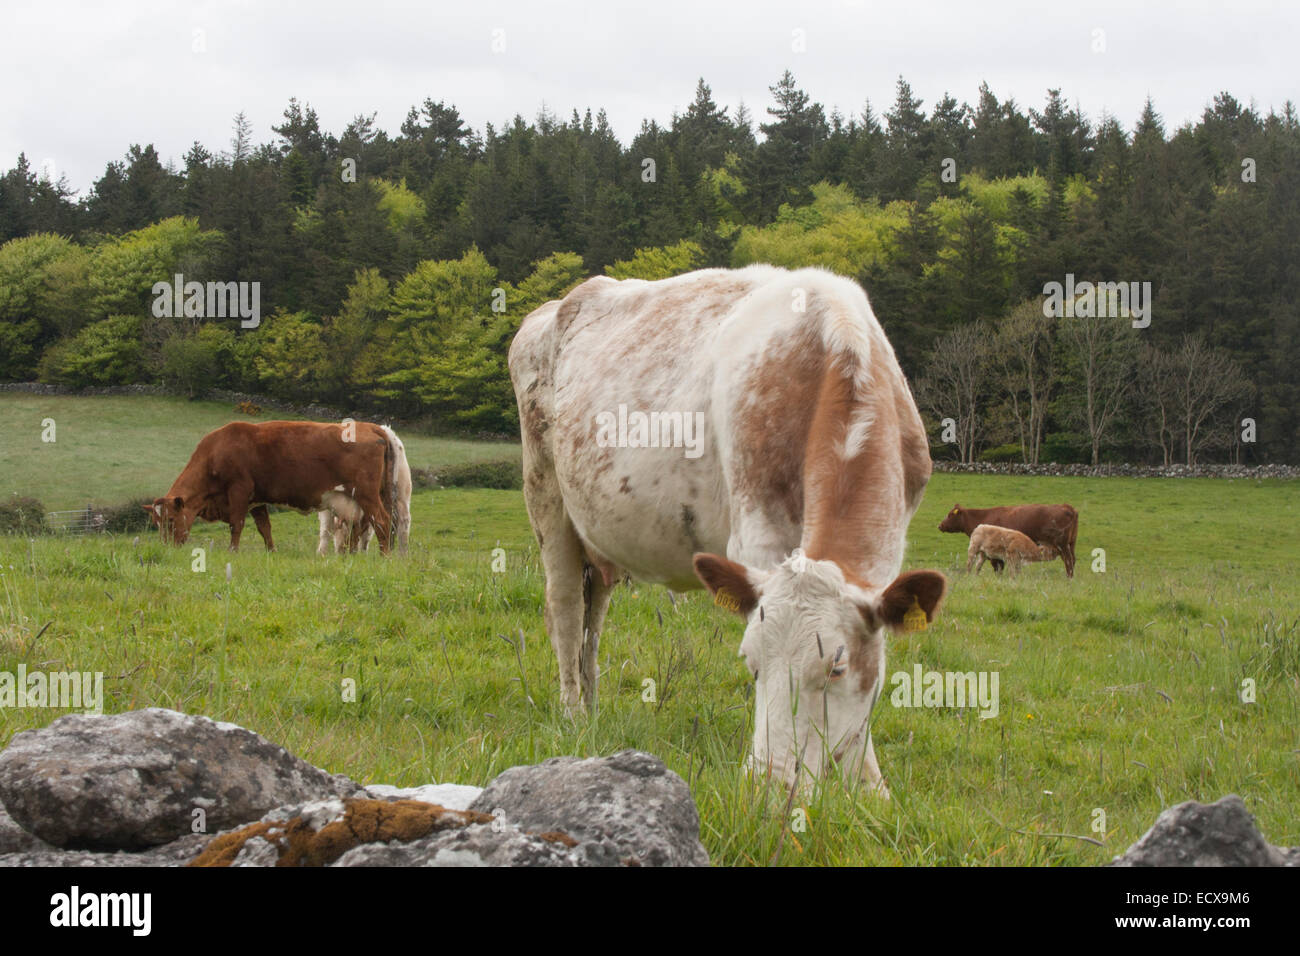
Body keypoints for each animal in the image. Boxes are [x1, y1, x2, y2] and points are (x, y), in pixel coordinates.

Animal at [146, 420, 397, 552]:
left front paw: (232, 551)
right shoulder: (256, 499)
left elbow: (236, 525)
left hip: (367, 495)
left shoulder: (239, 491)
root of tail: (370, 427)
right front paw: (271, 551)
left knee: (382, 521)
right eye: (156, 522)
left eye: (170, 520)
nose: (165, 548)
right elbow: (264, 528)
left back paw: (384, 556)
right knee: (364, 525)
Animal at [318, 425, 413, 554]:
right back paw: (403, 556)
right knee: (403, 524)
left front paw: (321, 553)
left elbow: (325, 529)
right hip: (401, 495)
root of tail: (385, 430)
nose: (341, 552)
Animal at [509, 265, 947, 793]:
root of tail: (555, 306)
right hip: (545, 492)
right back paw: (574, 715)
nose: (769, 785)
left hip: (597, 538)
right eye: (751, 664)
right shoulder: (758, 538)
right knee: (567, 607)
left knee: (593, 617)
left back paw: (593, 712)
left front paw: (868, 786)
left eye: (837, 668)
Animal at [939, 503, 1078, 577]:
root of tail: (1067, 507)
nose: (940, 525)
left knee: (1068, 561)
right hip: (1071, 544)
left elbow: (998, 569)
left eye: (950, 515)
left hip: (1063, 546)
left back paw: (1068, 578)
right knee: (1073, 560)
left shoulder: (995, 556)